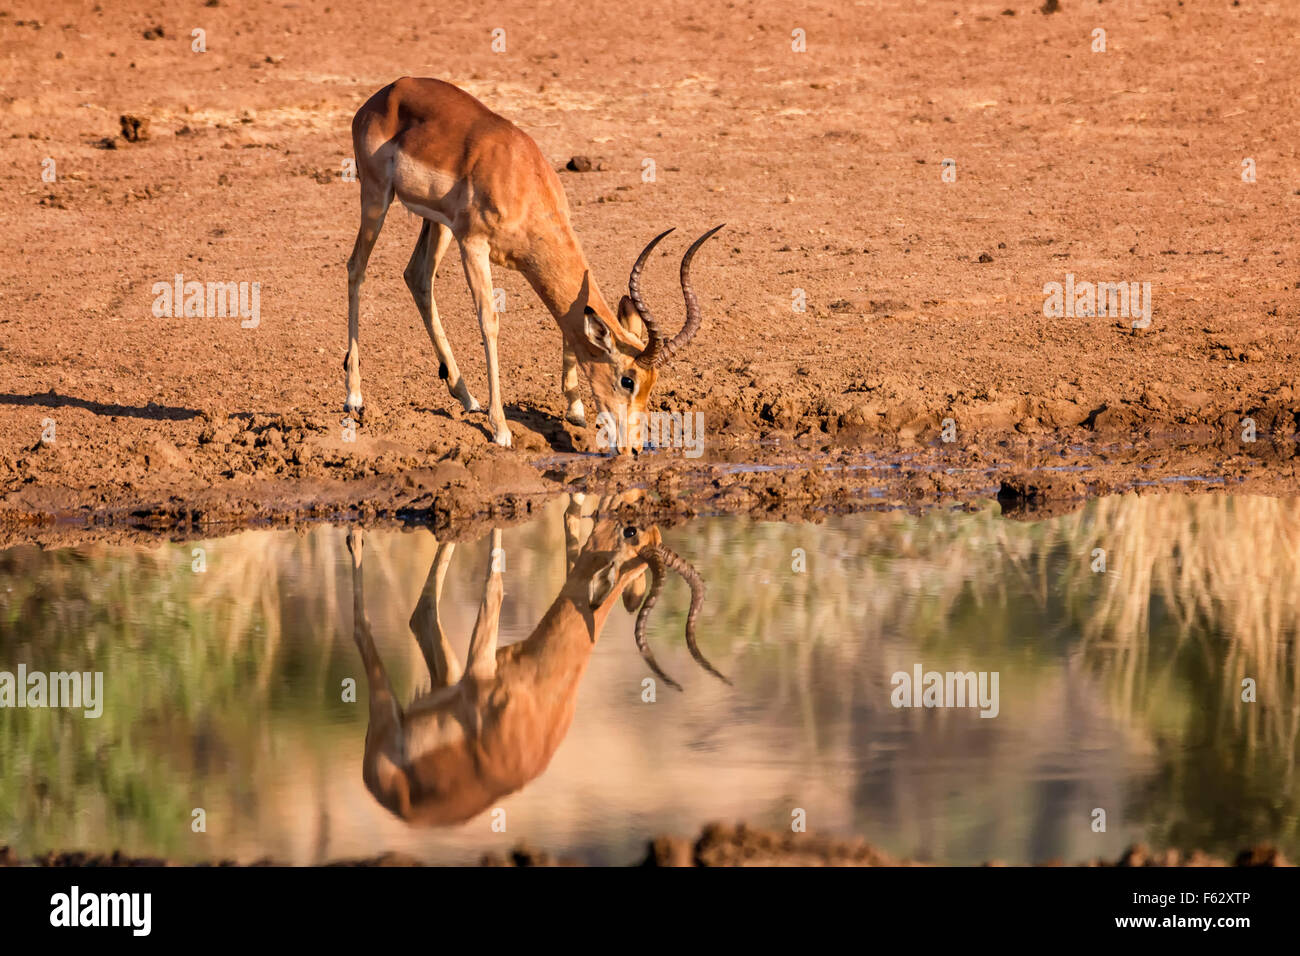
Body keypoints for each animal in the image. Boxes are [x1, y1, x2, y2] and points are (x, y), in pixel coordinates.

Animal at [345, 76, 724, 453]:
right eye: (627, 380)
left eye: (652, 382)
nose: (632, 448)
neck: (521, 179)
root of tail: (384, 94)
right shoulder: (474, 245)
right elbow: (489, 323)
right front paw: (501, 429)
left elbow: (567, 320)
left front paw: (575, 410)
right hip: (377, 197)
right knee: (356, 268)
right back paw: (354, 397)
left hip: (437, 223)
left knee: (417, 277)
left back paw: (466, 396)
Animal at [346, 494, 729, 826]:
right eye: (631, 530)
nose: (629, 496)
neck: (539, 693)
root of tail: (388, 798)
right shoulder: (482, 666)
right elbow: (498, 586)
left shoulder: (478, 668)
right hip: (392, 711)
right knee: (366, 629)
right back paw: (354, 536)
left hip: (444, 678)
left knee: (415, 616)